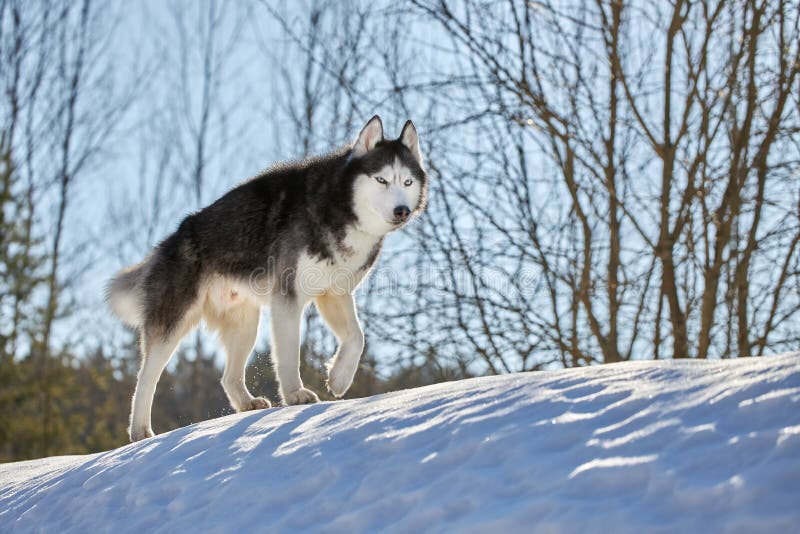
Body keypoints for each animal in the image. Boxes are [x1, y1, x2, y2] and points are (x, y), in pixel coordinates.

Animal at [107, 116, 427, 441]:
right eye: (382, 180)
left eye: (407, 182)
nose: (402, 210)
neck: (338, 208)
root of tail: (168, 242)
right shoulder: (287, 298)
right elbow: (289, 354)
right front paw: (295, 395)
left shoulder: (334, 293)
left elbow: (357, 338)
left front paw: (338, 378)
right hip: (174, 326)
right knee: (146, 378)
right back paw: (140, 430)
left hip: (246, 325)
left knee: (227, 377)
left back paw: (247, 403)